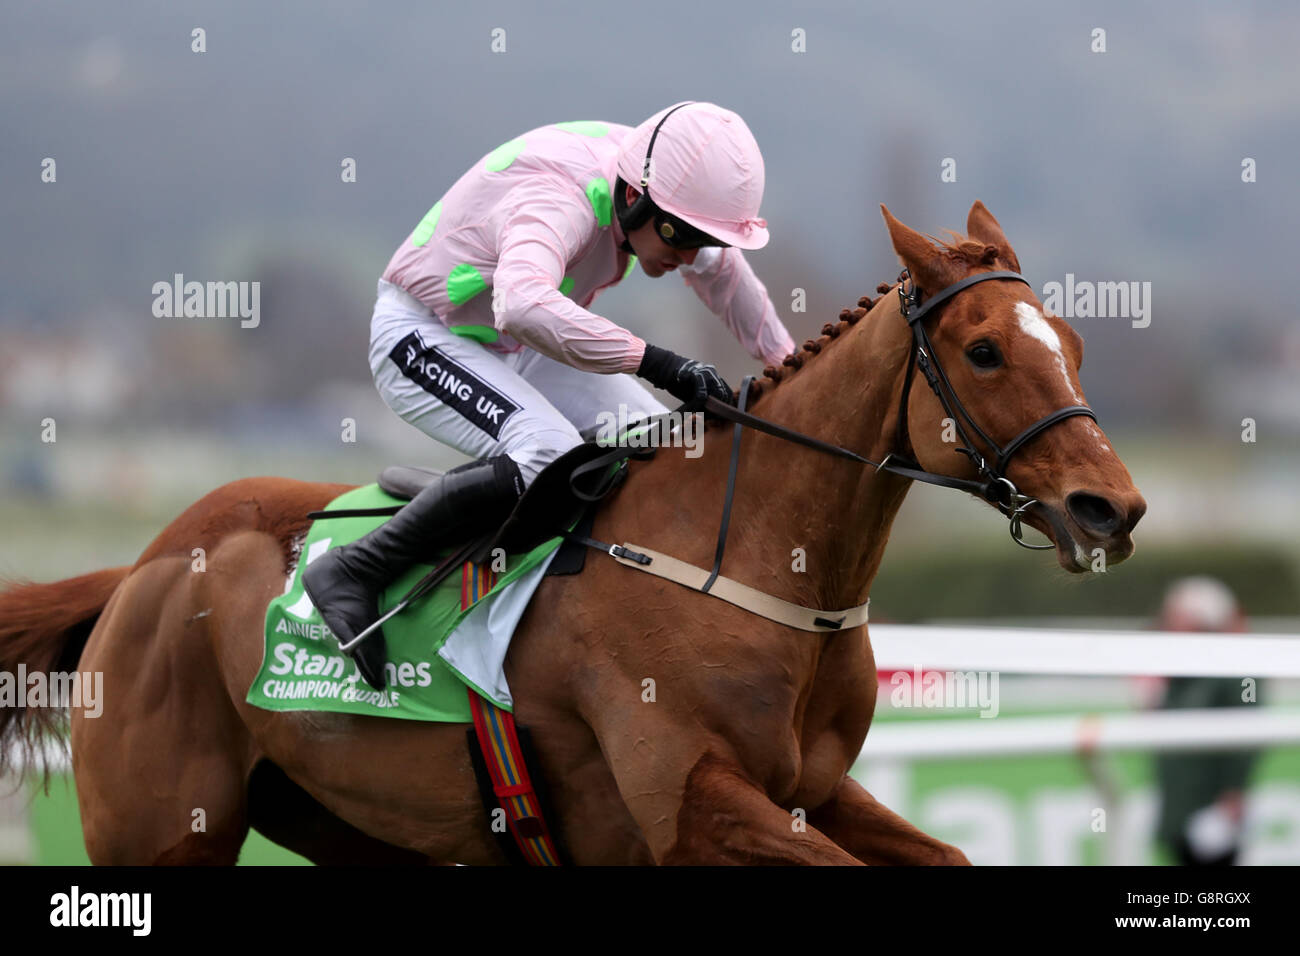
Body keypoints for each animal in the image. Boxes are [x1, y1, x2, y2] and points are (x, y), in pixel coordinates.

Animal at [0, 202, 1145, 864]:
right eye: (985, 349)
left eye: (1073, 340)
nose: (1113, 508)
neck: (748, 566)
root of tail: (143, 568)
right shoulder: (692, 806)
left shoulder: (813, 789)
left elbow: (948, 856)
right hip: (162, 831)